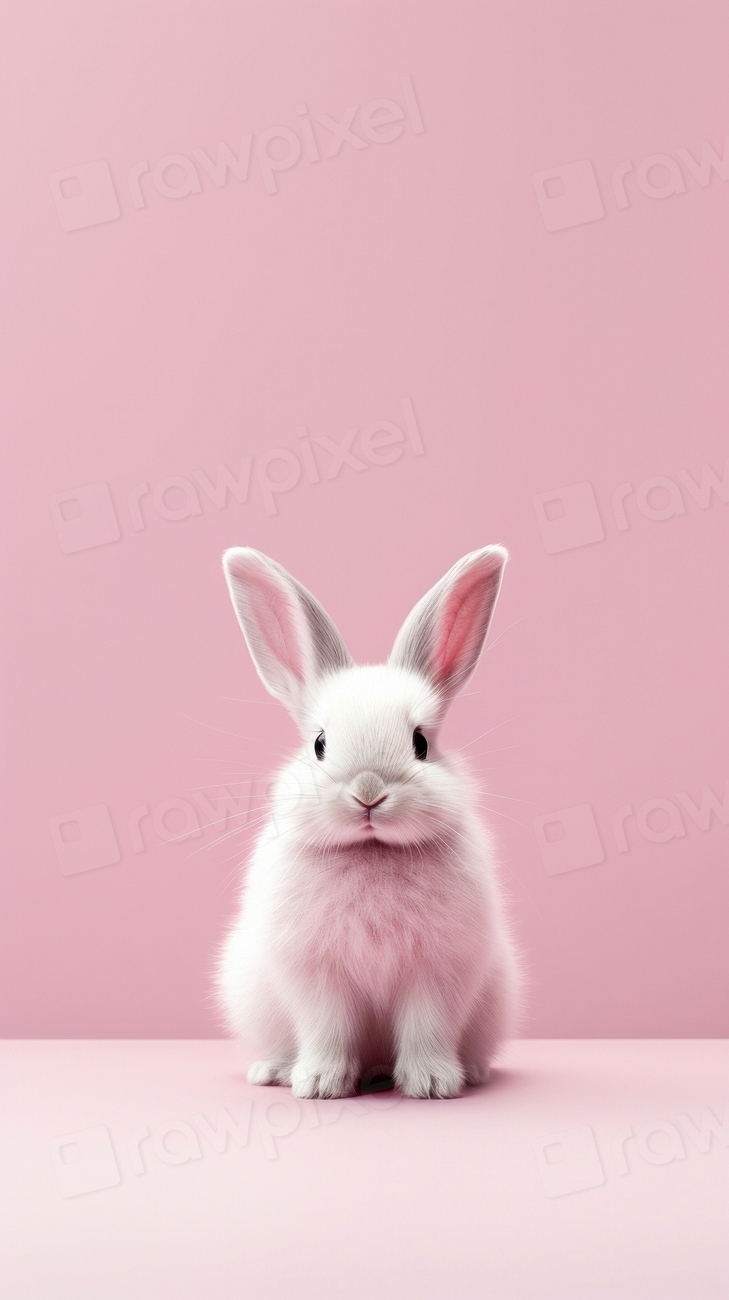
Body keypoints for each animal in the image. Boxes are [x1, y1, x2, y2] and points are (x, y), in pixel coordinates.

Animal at [215, 545, 522, 1099]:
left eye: (421, 744)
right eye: (319, 744)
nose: (368, 792)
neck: (372, 850)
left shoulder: (437, 975)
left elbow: (426, 1029)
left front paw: (432, 1083)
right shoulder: (318, 979)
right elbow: (327, 1030)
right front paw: (318, 1084)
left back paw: (466, 1072)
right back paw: (273, 1072)